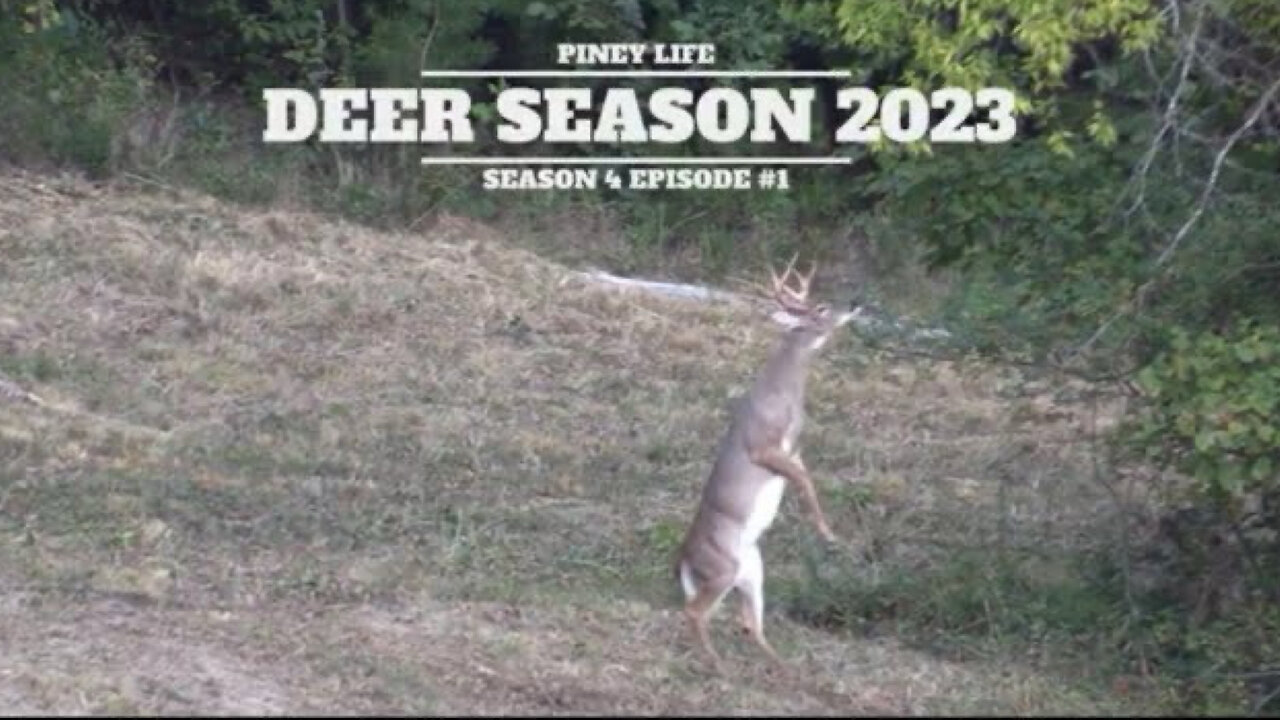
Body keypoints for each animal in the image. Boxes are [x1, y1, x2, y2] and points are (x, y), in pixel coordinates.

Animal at [673, 255, 862, 671]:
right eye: (820, 308)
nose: (855, 303)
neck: (783, 398)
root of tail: (683, 559)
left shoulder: (793, 451)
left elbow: (806, 479)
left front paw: (828, 534)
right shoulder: (763, 448)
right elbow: (806, 483)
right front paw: (829, 535)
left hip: (753, 571)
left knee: (749, 624)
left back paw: (785, 669)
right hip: (722, 569)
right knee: (695, 611)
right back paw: (718, 665)